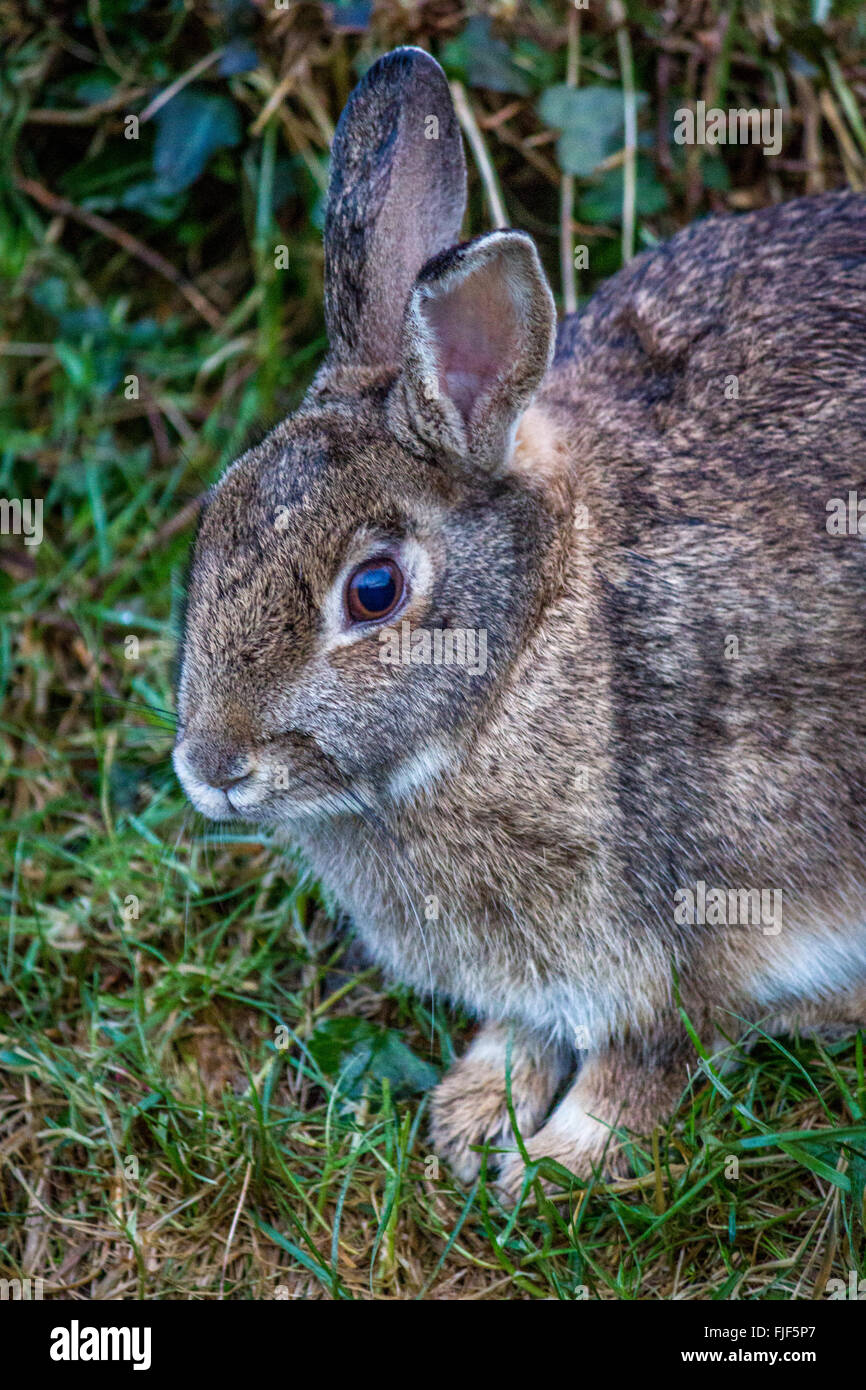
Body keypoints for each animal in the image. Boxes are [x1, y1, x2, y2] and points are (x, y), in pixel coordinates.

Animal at [173, 45, 866, 1198]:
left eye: (373, 591)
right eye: (211, 527)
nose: (212, 767)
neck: (529, 648)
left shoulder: (695, 929)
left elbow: (648, 1057)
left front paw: (562, 1161)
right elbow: (524, 1032)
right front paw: (472, 1116)